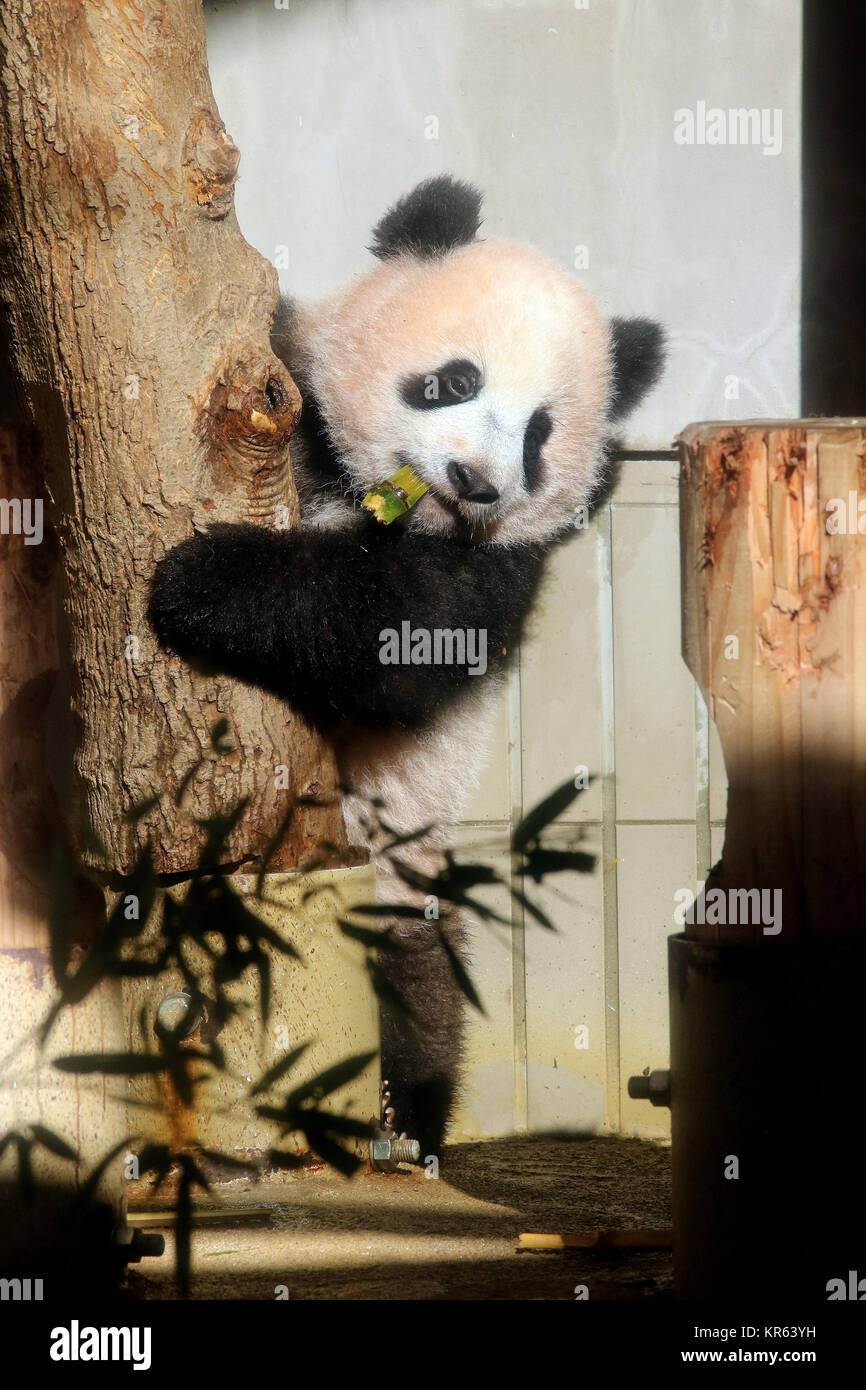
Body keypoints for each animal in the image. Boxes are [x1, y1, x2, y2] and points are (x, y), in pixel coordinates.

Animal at [148, 176, 664, 1158]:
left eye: (541, 434)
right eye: (455, 380)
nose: (473, 480)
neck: (374, 498)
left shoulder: (502, 569)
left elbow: (405, 628)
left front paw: (206, 582)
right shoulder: (287, 386)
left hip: (393, 873)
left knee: (416, 990)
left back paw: (396, 1121)